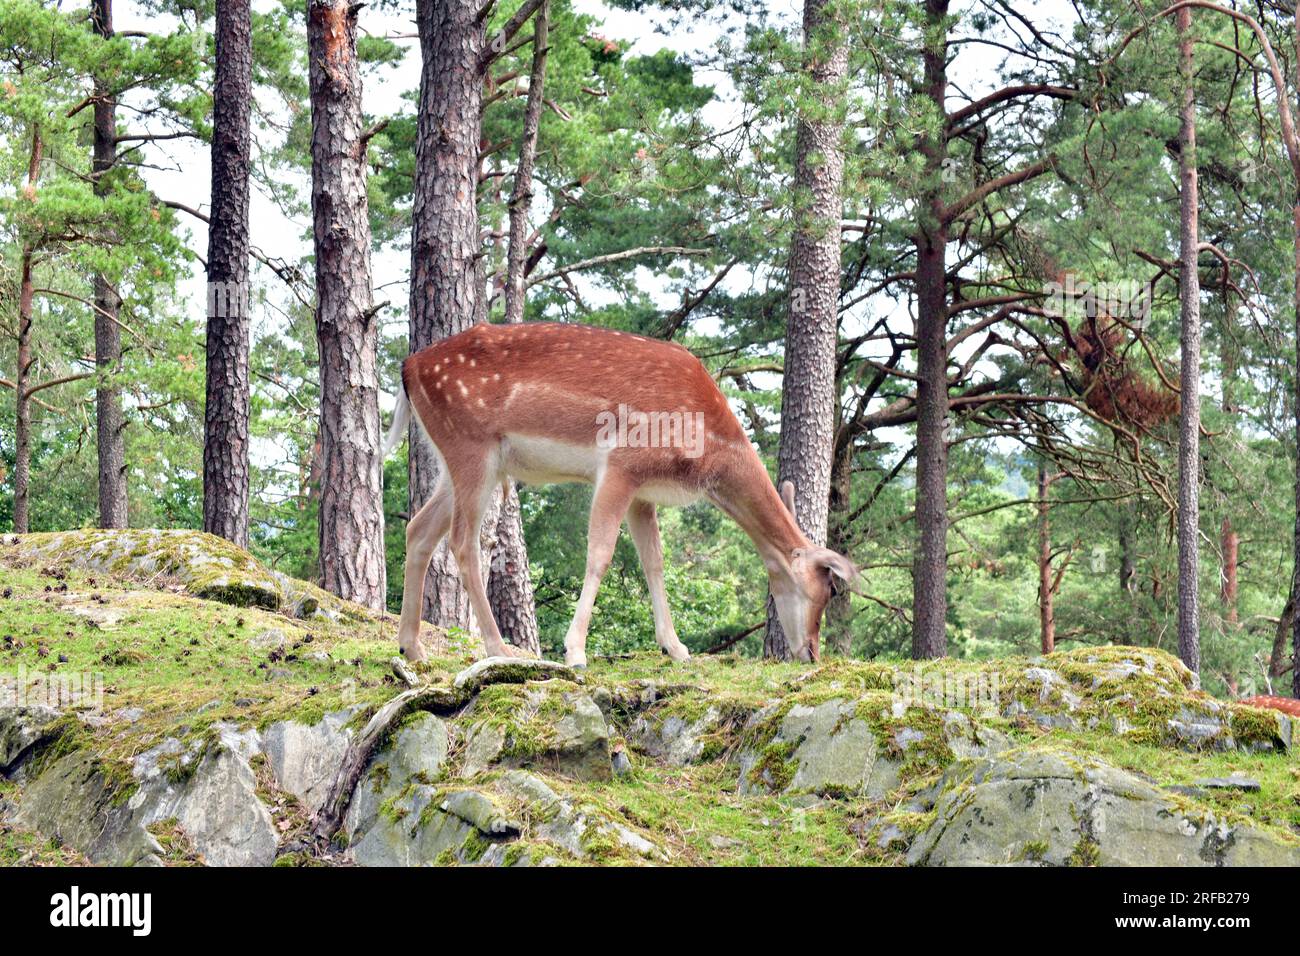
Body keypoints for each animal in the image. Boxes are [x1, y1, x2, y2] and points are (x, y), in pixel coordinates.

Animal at [382, 321, 862, 668]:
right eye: (827, 591)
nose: (812, 653)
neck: (703, 447)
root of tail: (407, 368)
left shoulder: (643, 491)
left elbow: (655, 562)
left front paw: (676, 648)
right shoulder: (620, 464)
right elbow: (600, 554)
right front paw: (575, 651)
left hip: (460, 460)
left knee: (419, 529)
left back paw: (411, 648)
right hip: (472, 448)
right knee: (462, 542)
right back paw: (498, 649)